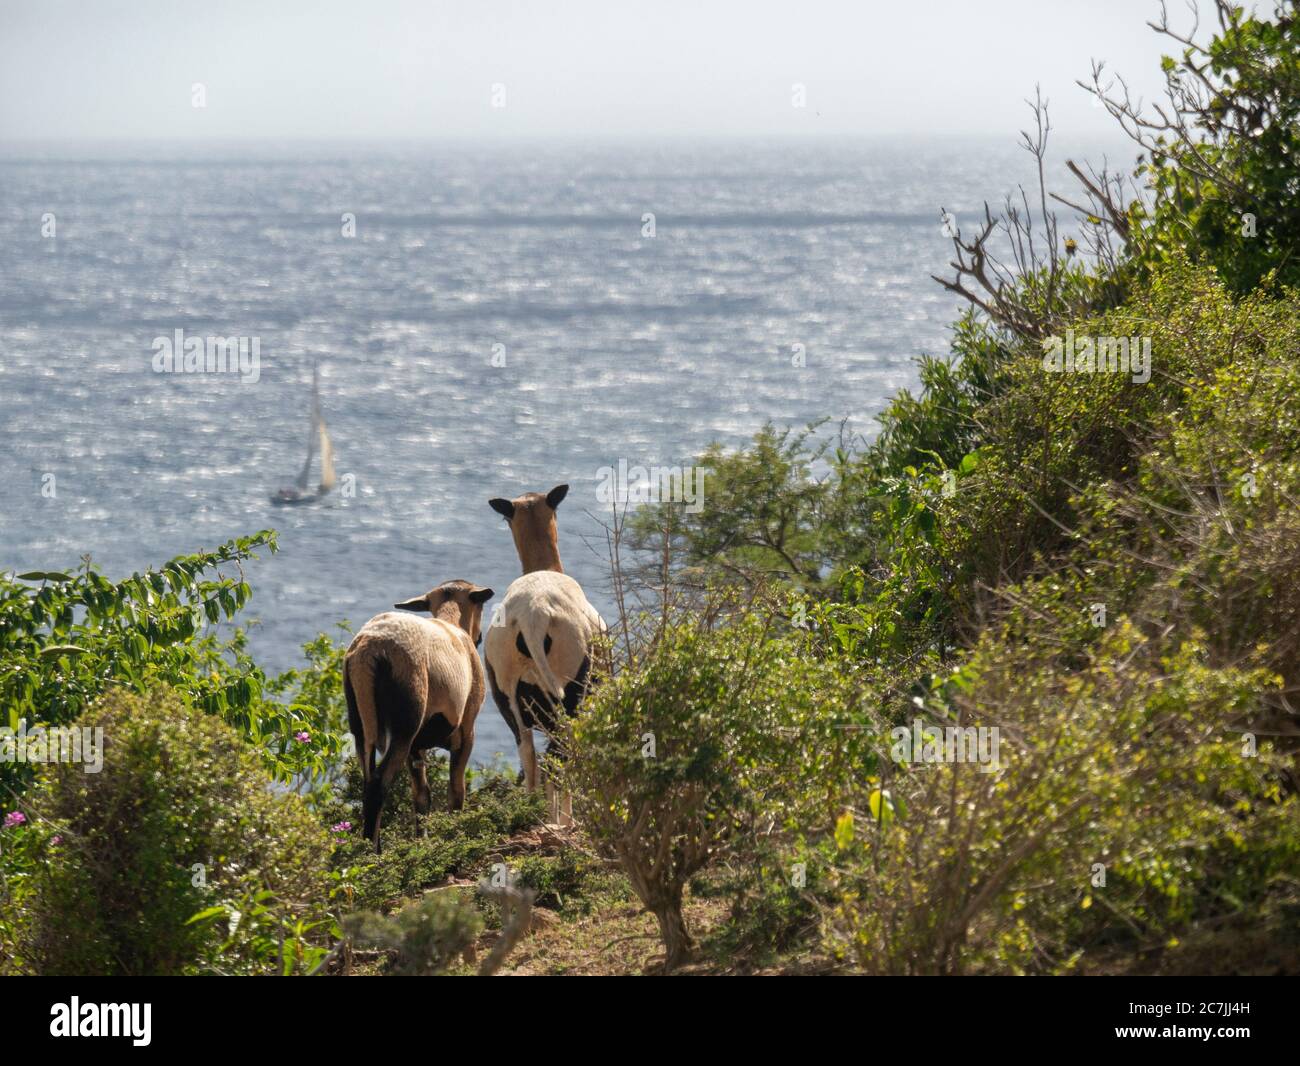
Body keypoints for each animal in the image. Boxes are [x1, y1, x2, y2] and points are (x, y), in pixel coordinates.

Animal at [343, 579, 493, 853]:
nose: (478, 638)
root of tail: (369, 649)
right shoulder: (466, 730)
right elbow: (456, 791)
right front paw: (455, 834)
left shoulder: (418, 746)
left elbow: (422, 795)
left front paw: (421, 840)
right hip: (406, 719)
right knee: (379, 782)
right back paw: (373, 853)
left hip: (361, 719)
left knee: (368, 778)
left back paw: (370, 847)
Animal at [484, 485, 605, 822]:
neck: (544, 570)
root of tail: (534, 613)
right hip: (569, 692)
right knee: (558, 756)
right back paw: (562, 820)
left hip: (507, 693)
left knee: (529, 752)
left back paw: (532, 812)